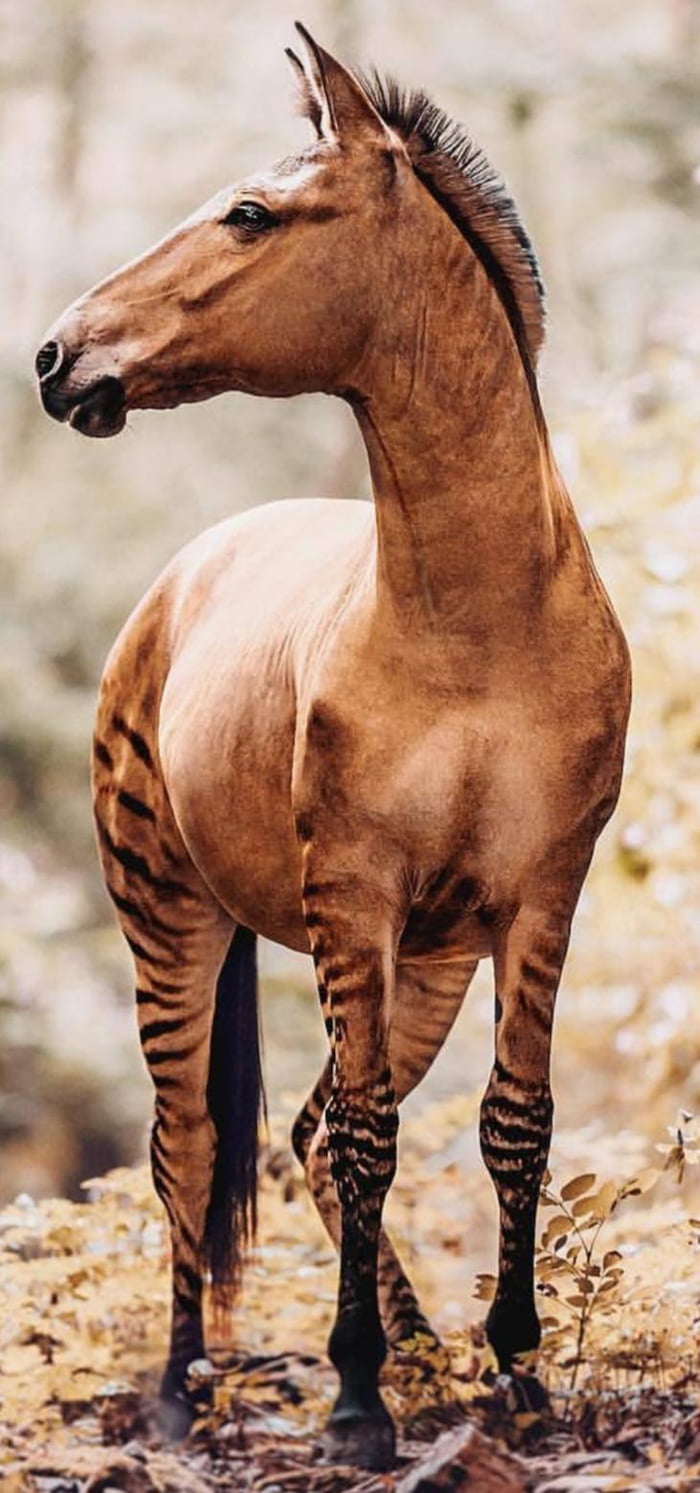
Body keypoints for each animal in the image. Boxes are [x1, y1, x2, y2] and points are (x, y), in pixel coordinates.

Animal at [35, 25, 631, 1472]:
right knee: (193, 1140)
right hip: (168, 915)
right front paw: (357, 1401)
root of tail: (188, 570)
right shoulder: (351, 898)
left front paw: (515, 1377)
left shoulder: (540, 896)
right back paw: (188, 1388)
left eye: (250, 214)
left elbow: (510, 1124)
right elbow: (366, 1140)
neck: (478, 614)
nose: (56, 356)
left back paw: (417, 1353)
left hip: (433, 959)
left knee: (298, 1130)